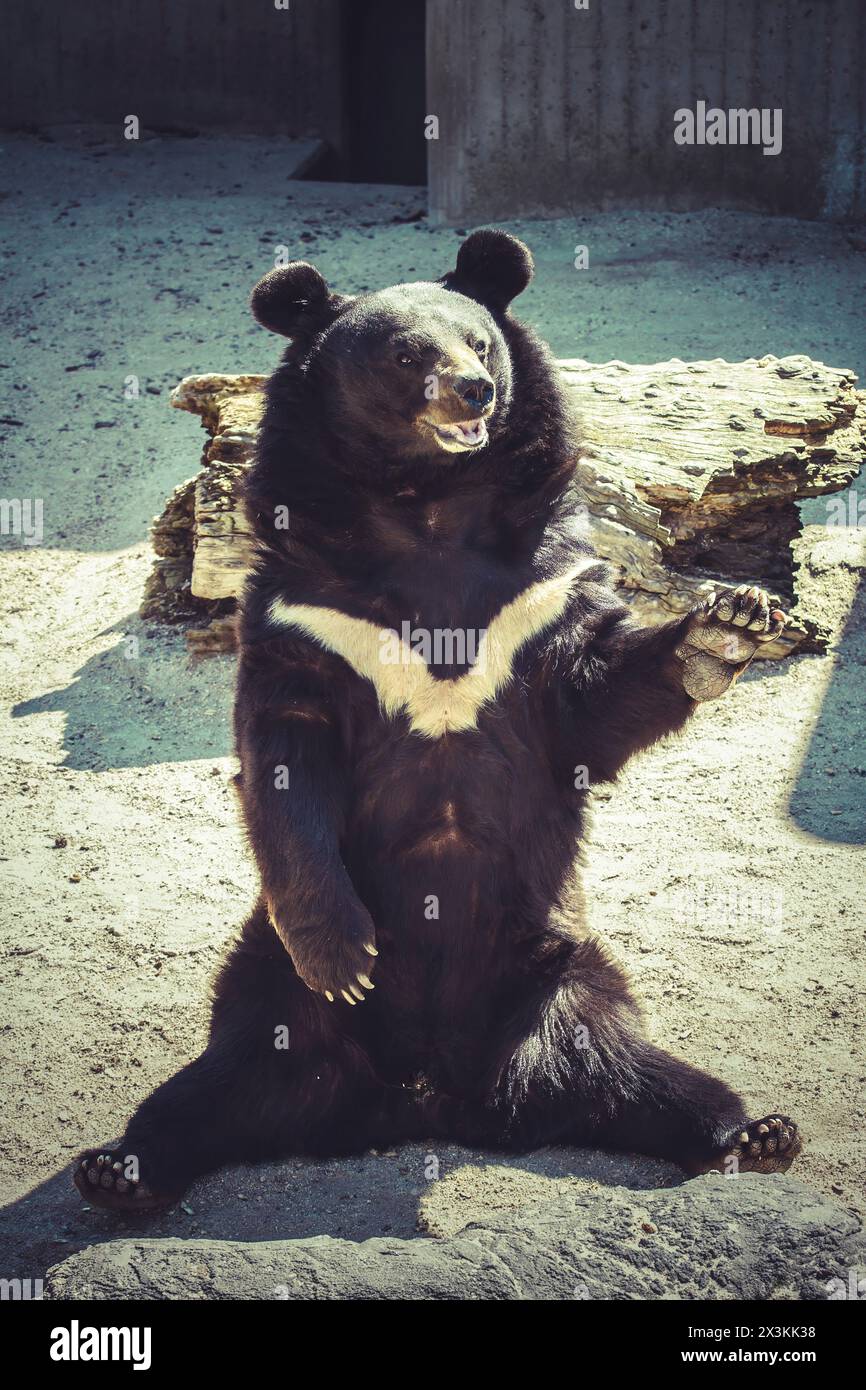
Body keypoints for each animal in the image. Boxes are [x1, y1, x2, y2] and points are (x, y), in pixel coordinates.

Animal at [75, 229, 800, 1212]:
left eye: (480, 342)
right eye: (406, 355)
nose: (476, 392)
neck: (426, 506)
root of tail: (431, 1096)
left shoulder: (540, 595)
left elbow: (591, 702)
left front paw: (732, 621)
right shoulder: (306, 615)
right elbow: (283, 764)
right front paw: (346, 957)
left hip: (562, 971)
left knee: (633, 1071)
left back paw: (754, 1135)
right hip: (267, 989)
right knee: (216, 1085)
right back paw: (120, 1168)